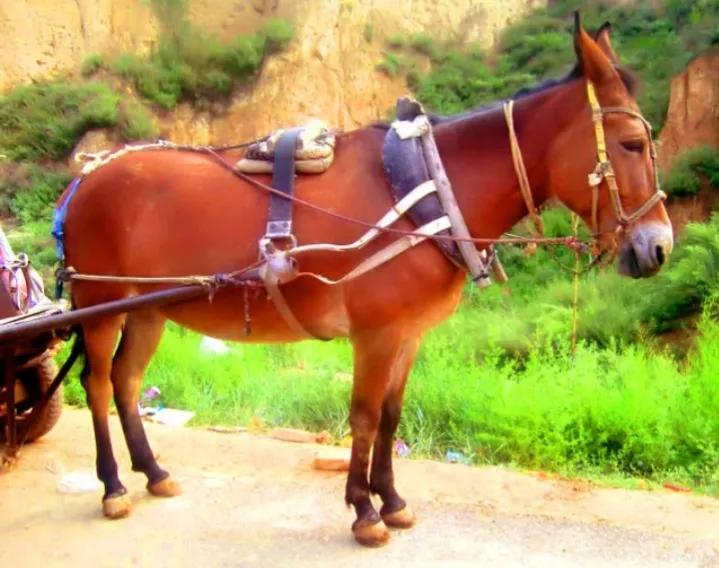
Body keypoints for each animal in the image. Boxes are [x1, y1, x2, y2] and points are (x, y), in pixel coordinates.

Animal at [60, 18, 672, 547]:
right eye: (632, 144)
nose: (659, 246)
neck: (428, 190)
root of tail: (86, 178)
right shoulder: (375, 333)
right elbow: (364, 414)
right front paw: (363, 510)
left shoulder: (408, 333)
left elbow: (391, 415)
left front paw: (392, 500)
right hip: (99, 300)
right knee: (97, 384)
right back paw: (113, 485)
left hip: (148, 309)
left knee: (127, 382)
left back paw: (152, 471)